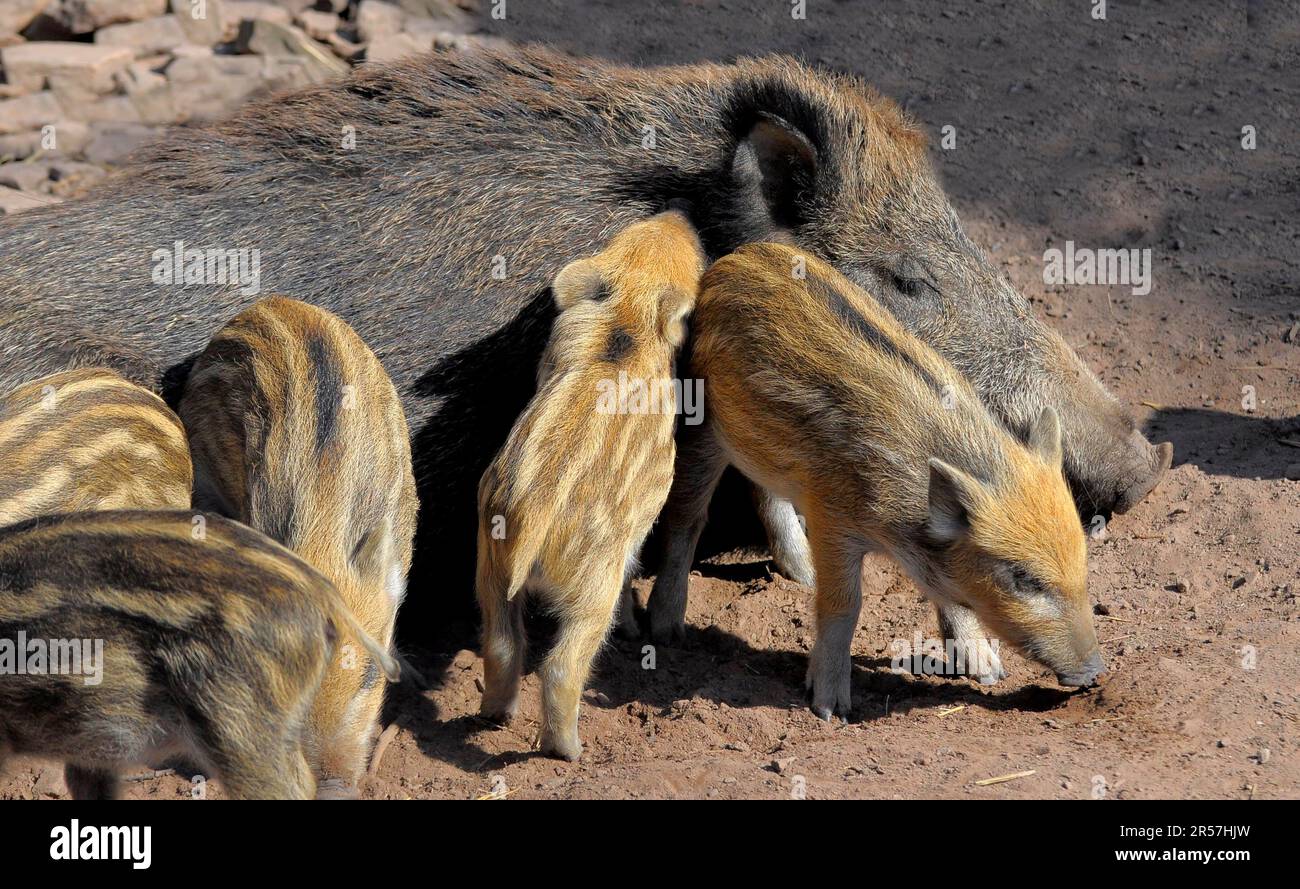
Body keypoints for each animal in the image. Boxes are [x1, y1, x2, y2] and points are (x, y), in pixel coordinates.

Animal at [476, 212, 703, 761]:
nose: (677, 214)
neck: (627, 320)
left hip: (489, 562)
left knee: (503, 645)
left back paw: (496, 715)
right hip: (591, 581)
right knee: (562, 664)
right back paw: (570, 750)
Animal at [674, 243, 1104, 717]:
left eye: (1083, 563)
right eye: (1023, 579)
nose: (1094, 672)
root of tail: (733, 261)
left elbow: (952, 596)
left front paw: (989, 673)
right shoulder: (832, 517)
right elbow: (845, 605)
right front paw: (832, 709)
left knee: (763, 490)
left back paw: (801, 577)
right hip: (703, 427)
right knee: (687, 518)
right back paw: (666, 633)